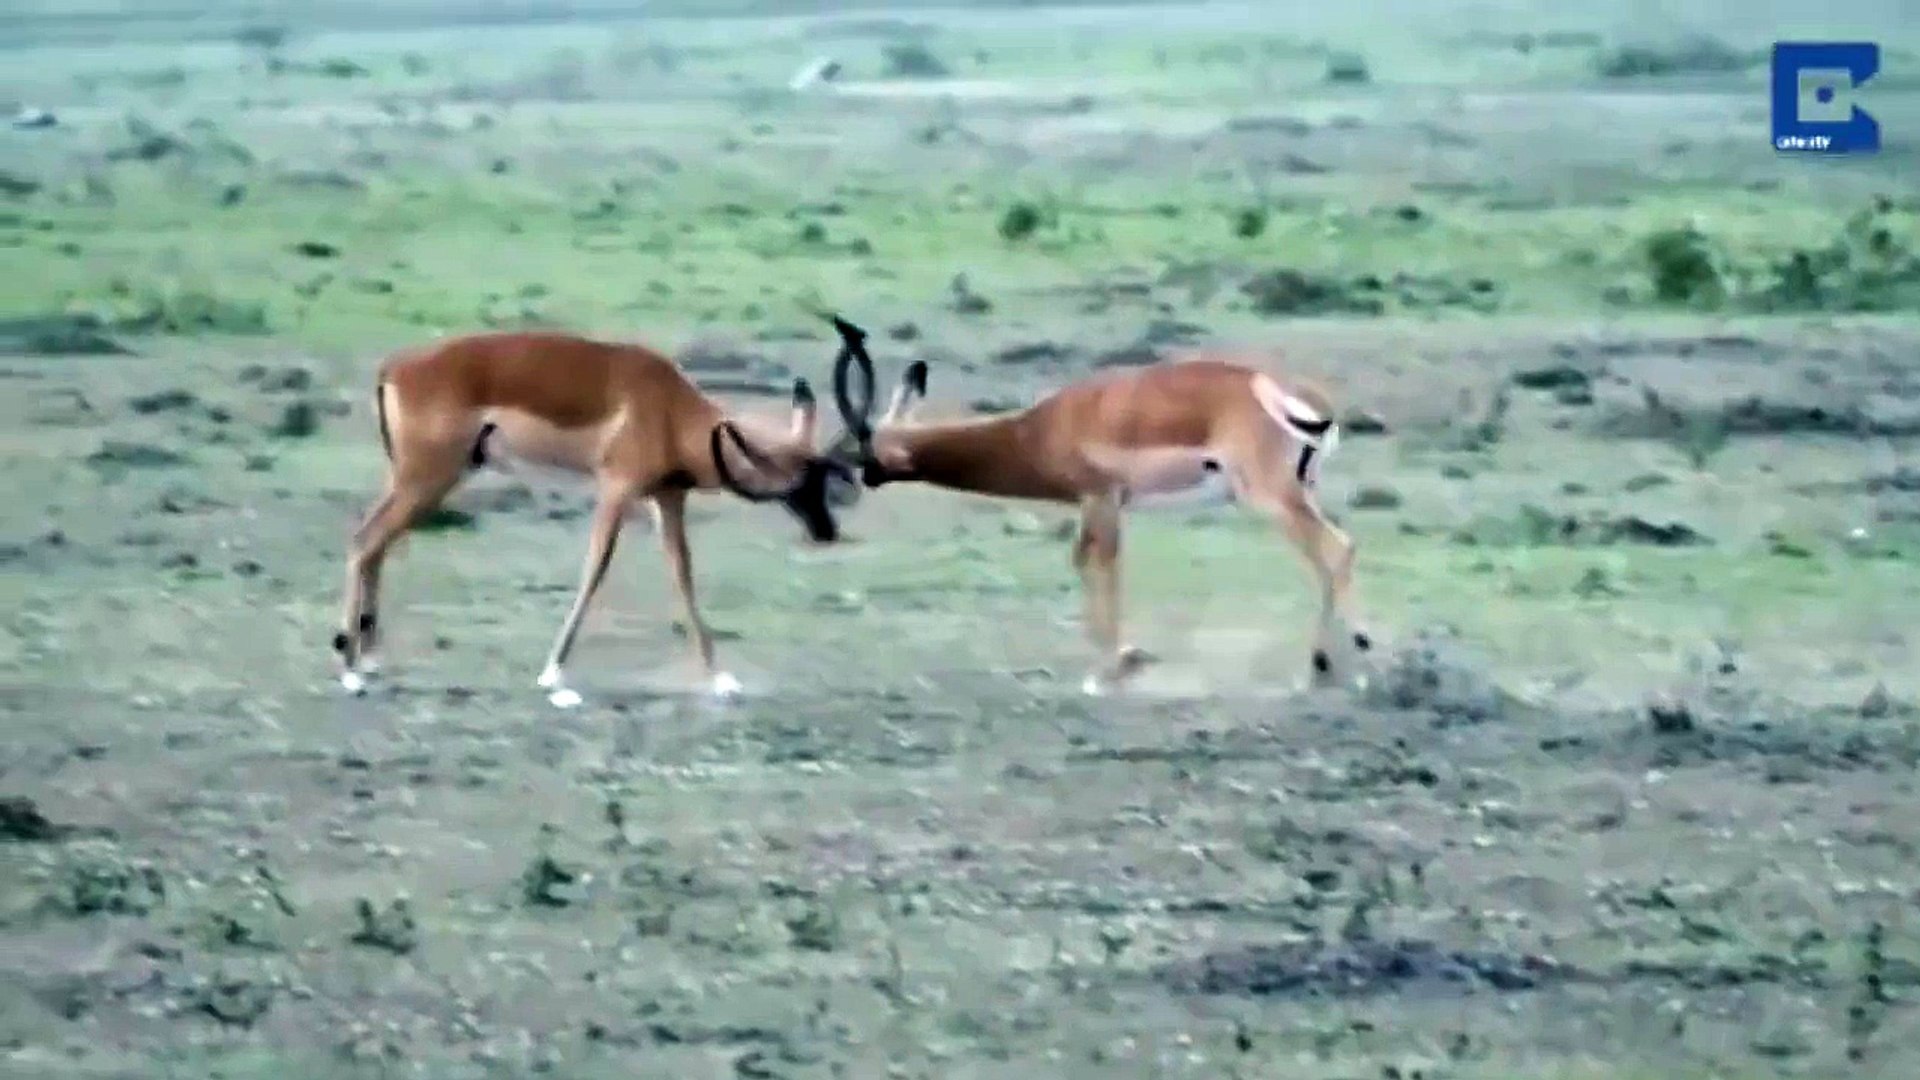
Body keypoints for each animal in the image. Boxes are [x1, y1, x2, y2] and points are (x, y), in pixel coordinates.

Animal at [334, 326, 870, 708]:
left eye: (823, 476)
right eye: (799, 482)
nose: (826, 531)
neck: (666, 407)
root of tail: (395, 367)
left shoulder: (667, 500)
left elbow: (684, 576)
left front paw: (722, 680)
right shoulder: (616, 490)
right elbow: (595, 570)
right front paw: (554, 677)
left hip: (418, 480)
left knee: (375, 545)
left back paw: (371, 662)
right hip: (427, 479)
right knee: (364, 541)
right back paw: (351, 672)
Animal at [821, 318, 1371, 695]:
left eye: (856, 448)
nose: (843, 490)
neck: (1040, 430)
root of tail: (1301, 400)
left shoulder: (1101, 498)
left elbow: (1099, 564)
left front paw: (1111, 668)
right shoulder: (1099, 503)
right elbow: (1085, 562)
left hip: (1268, 496)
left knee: (1335, 548)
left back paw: (1345, 659)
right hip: (1299, 491)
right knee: (1329, 555)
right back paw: (1323, 666)